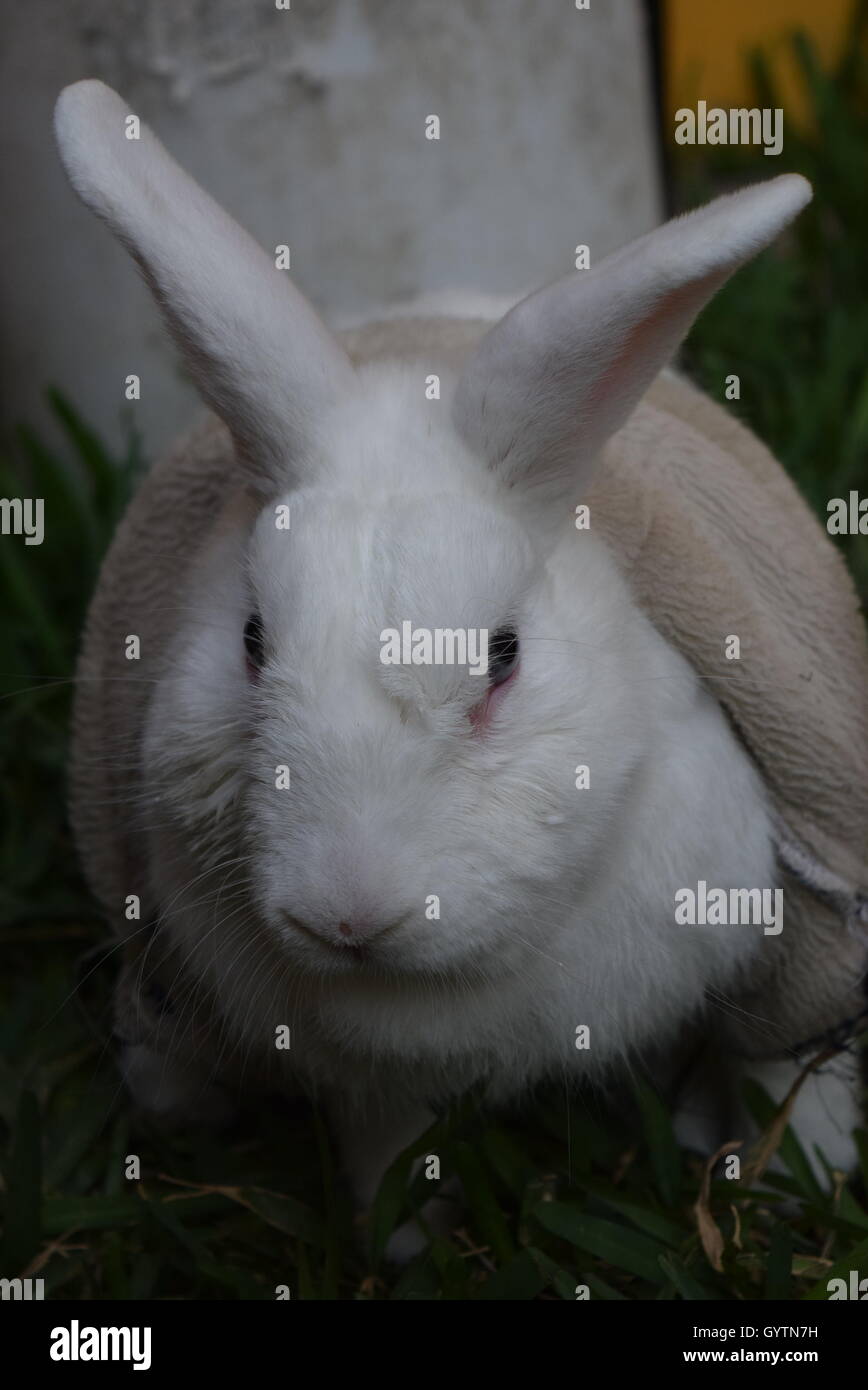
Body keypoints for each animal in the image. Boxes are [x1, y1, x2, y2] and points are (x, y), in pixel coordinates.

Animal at [55, 80, 864, 1256]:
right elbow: (393, 1155)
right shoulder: (374, 1084)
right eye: (252, 641)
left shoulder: (797, 935)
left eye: (503, 657)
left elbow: (789, 1066)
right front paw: (402, 1247)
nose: (349, 914)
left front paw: (805, 1182)